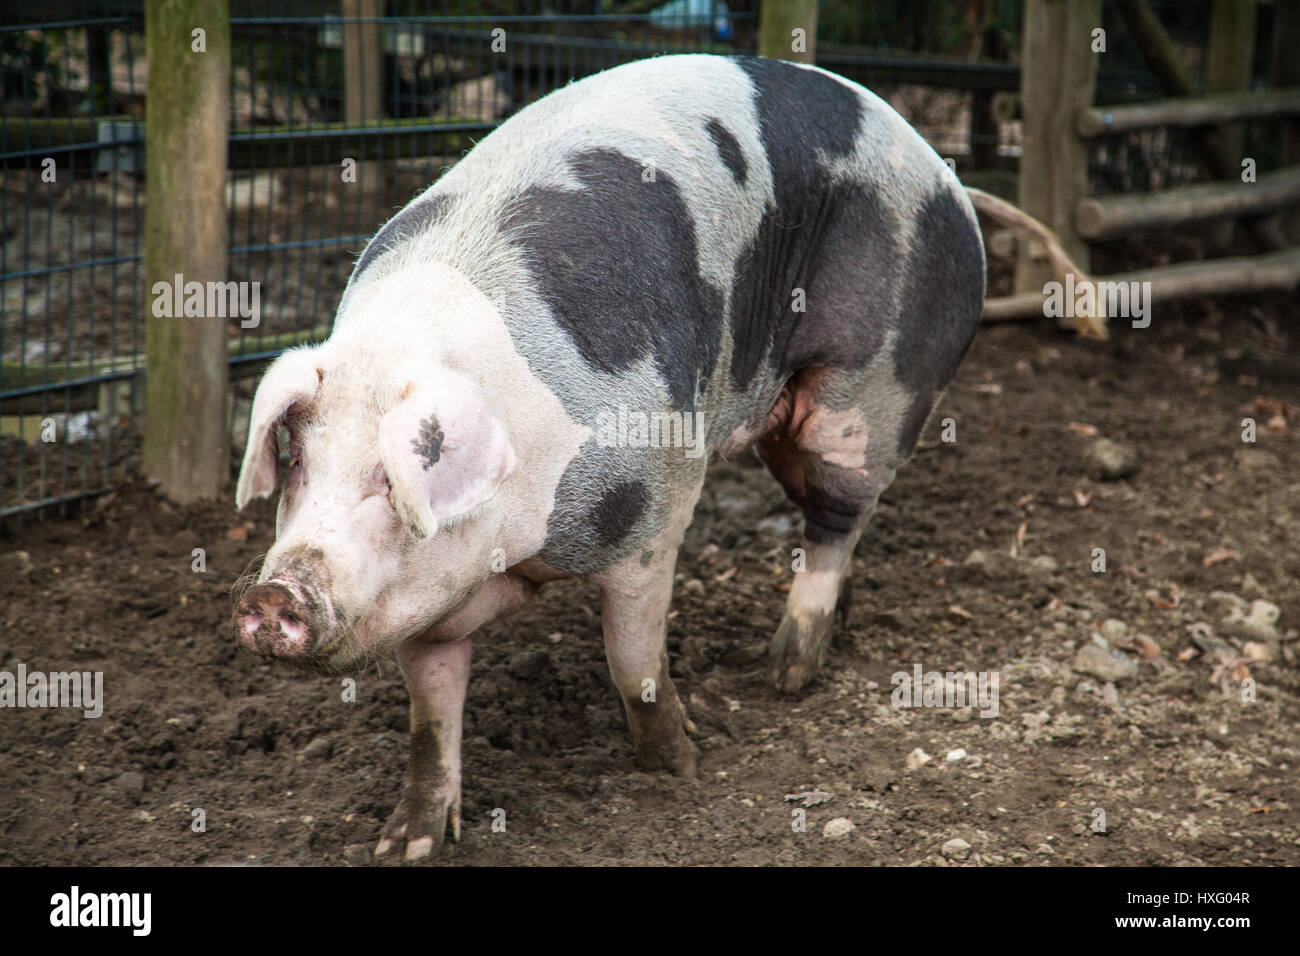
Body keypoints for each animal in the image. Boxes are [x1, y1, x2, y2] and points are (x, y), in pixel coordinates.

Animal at [233, 53, 1062, 861]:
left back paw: (786, 672)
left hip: (870, 392)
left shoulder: (653, 511)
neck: (516, 549)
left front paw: (683, 767)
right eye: (298, 460)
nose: (272, 594)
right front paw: (402, 844)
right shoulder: (425, 602)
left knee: (838, 514)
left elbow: (634, 664)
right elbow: (431, 718)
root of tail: (948, 178)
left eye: (390, 480)